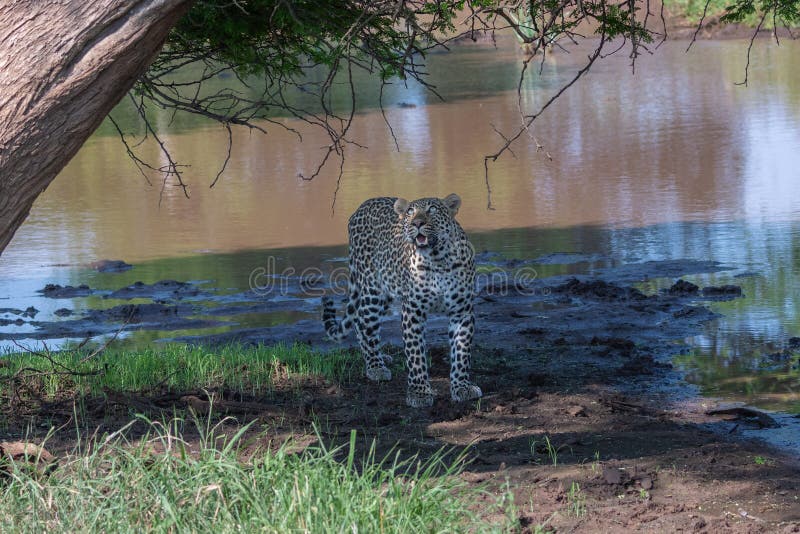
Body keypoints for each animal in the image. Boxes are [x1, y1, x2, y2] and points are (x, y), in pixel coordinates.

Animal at [322, 193, 482, 408]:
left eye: (432, 209)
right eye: (410, 212)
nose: (417, 223)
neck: (438, 259)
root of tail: (362, 206)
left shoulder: (462, 311)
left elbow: (462, 353)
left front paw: (462, 387)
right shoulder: (413, 311)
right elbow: (416, 356)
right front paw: (419, 393)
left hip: (386, 293)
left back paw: (382, 357)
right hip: (372, 289)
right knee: (362, 321)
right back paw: (376, 366)